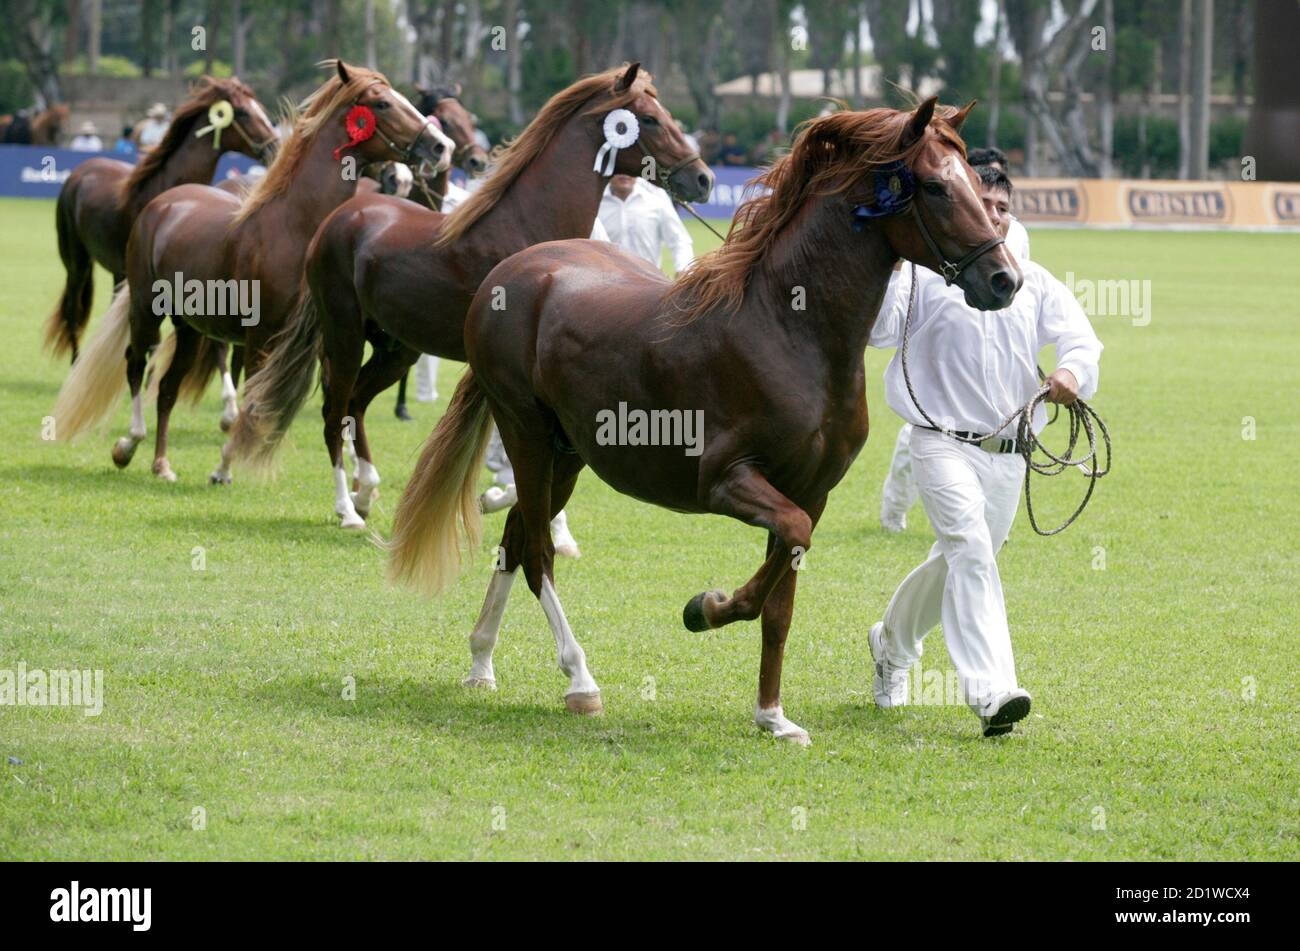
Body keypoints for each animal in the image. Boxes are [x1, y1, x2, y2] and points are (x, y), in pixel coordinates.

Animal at [43, 77, 277, 368]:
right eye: (243, 112)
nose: (274, 146)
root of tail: (79, 172)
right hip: (78, 263)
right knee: (73, 310)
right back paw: (77, 362)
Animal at [227, 63, 712, 532]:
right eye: (649, 118)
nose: (703, 179)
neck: (529, 229)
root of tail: (337, 219)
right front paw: (502, 503)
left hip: (395, 349)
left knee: (356, 404)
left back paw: (367, 492)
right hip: (343, 335)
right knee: (335, 409)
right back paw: (347, 507)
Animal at [384, 98, 1022, 743]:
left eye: (978, 186)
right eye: (937, 187)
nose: (1004, 279)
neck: (789, 329)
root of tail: (508, 274)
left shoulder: (811, 491)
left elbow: (782, 603)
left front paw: (773, 717)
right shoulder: (724, 480)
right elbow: (780, 556)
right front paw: (705, 608)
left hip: (567, 454)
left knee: (515, 538)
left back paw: (481, 663)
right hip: (527, 435)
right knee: (538, 551)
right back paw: (579, 681)